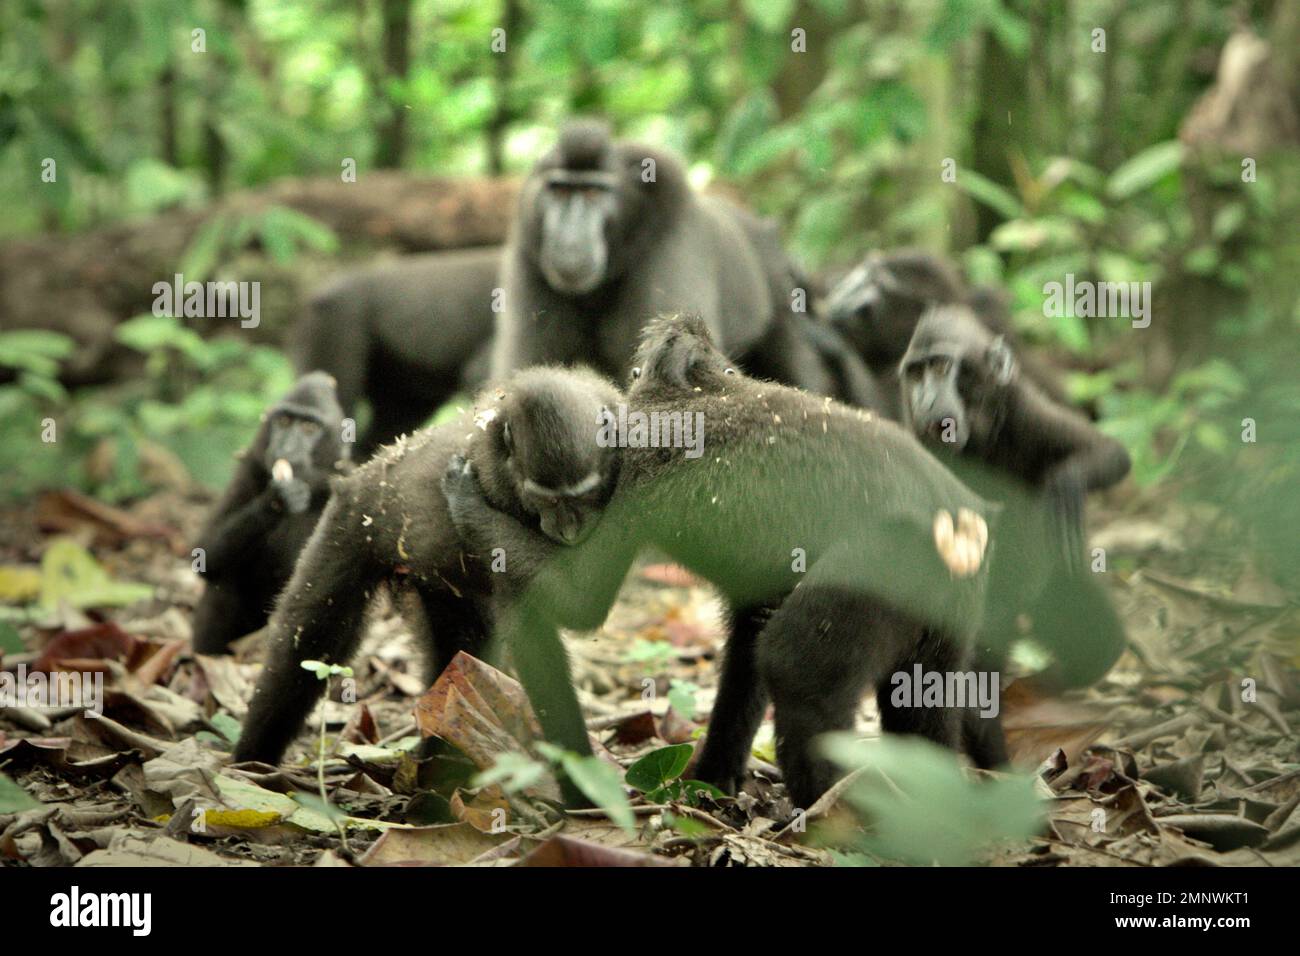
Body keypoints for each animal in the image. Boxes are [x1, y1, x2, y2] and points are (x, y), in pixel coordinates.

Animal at [191, 372, 351, 656]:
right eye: (284, 421)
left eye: (309, 428)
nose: (286, 447)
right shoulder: (249, 469)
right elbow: (205, 555)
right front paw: (277, 498)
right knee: (225, 579)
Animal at [231, 366, 622, 781]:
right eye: (546, 500)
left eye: (583, 496)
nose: (568, 530)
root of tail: (370, 469)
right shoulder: (495, 488)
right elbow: (553, 616)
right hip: (349, 525)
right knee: (305, 646)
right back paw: (253, 757)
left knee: (460, 646)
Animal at [443, 312, 1003, 808]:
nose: (564, 526)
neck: (691, 389)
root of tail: (953, 520)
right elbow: (750, 628)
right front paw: (714, 779)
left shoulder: (635, 474)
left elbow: (584, 603)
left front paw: (467, 499)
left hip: (888, 563)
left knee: (796, 662)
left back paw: (827, 813)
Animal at [898, 304, 1132, 697]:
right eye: (915, 374)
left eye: (941, 367)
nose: (925, 400)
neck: (982, 441)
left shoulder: (1026, 417)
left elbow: (1111, 452)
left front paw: (1067, 484)